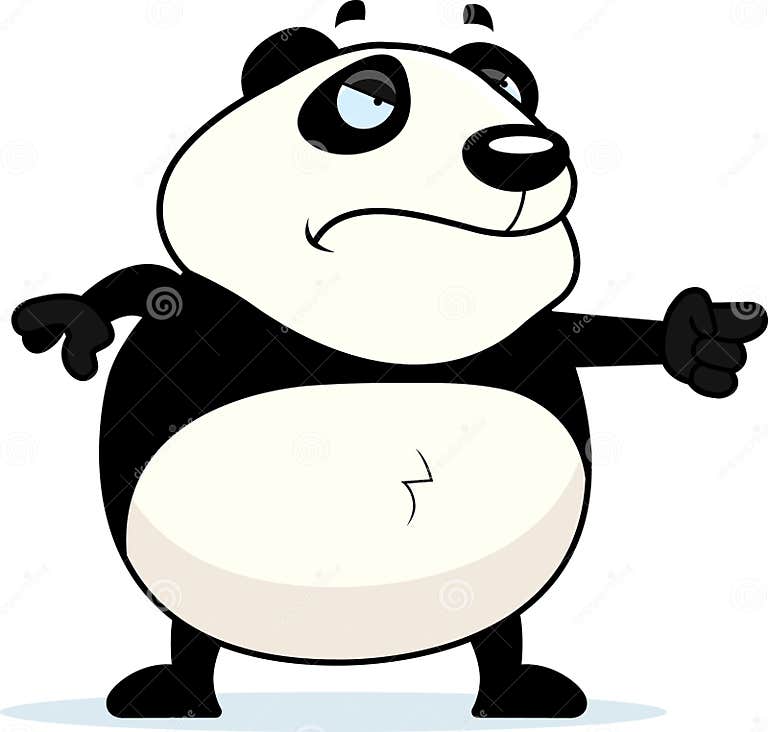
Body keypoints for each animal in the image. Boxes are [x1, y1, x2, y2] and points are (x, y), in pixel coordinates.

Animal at [11, 0, 768, 721]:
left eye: (505, 83)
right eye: (367, 99)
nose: (525, 154)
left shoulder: (527, 343)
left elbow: (585, 334)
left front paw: (698, 339)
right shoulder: (209, 321)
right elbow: (149, 287)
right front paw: (73, 321)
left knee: (500, 634)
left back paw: (518, 695)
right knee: (192, 636)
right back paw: (174, 696)